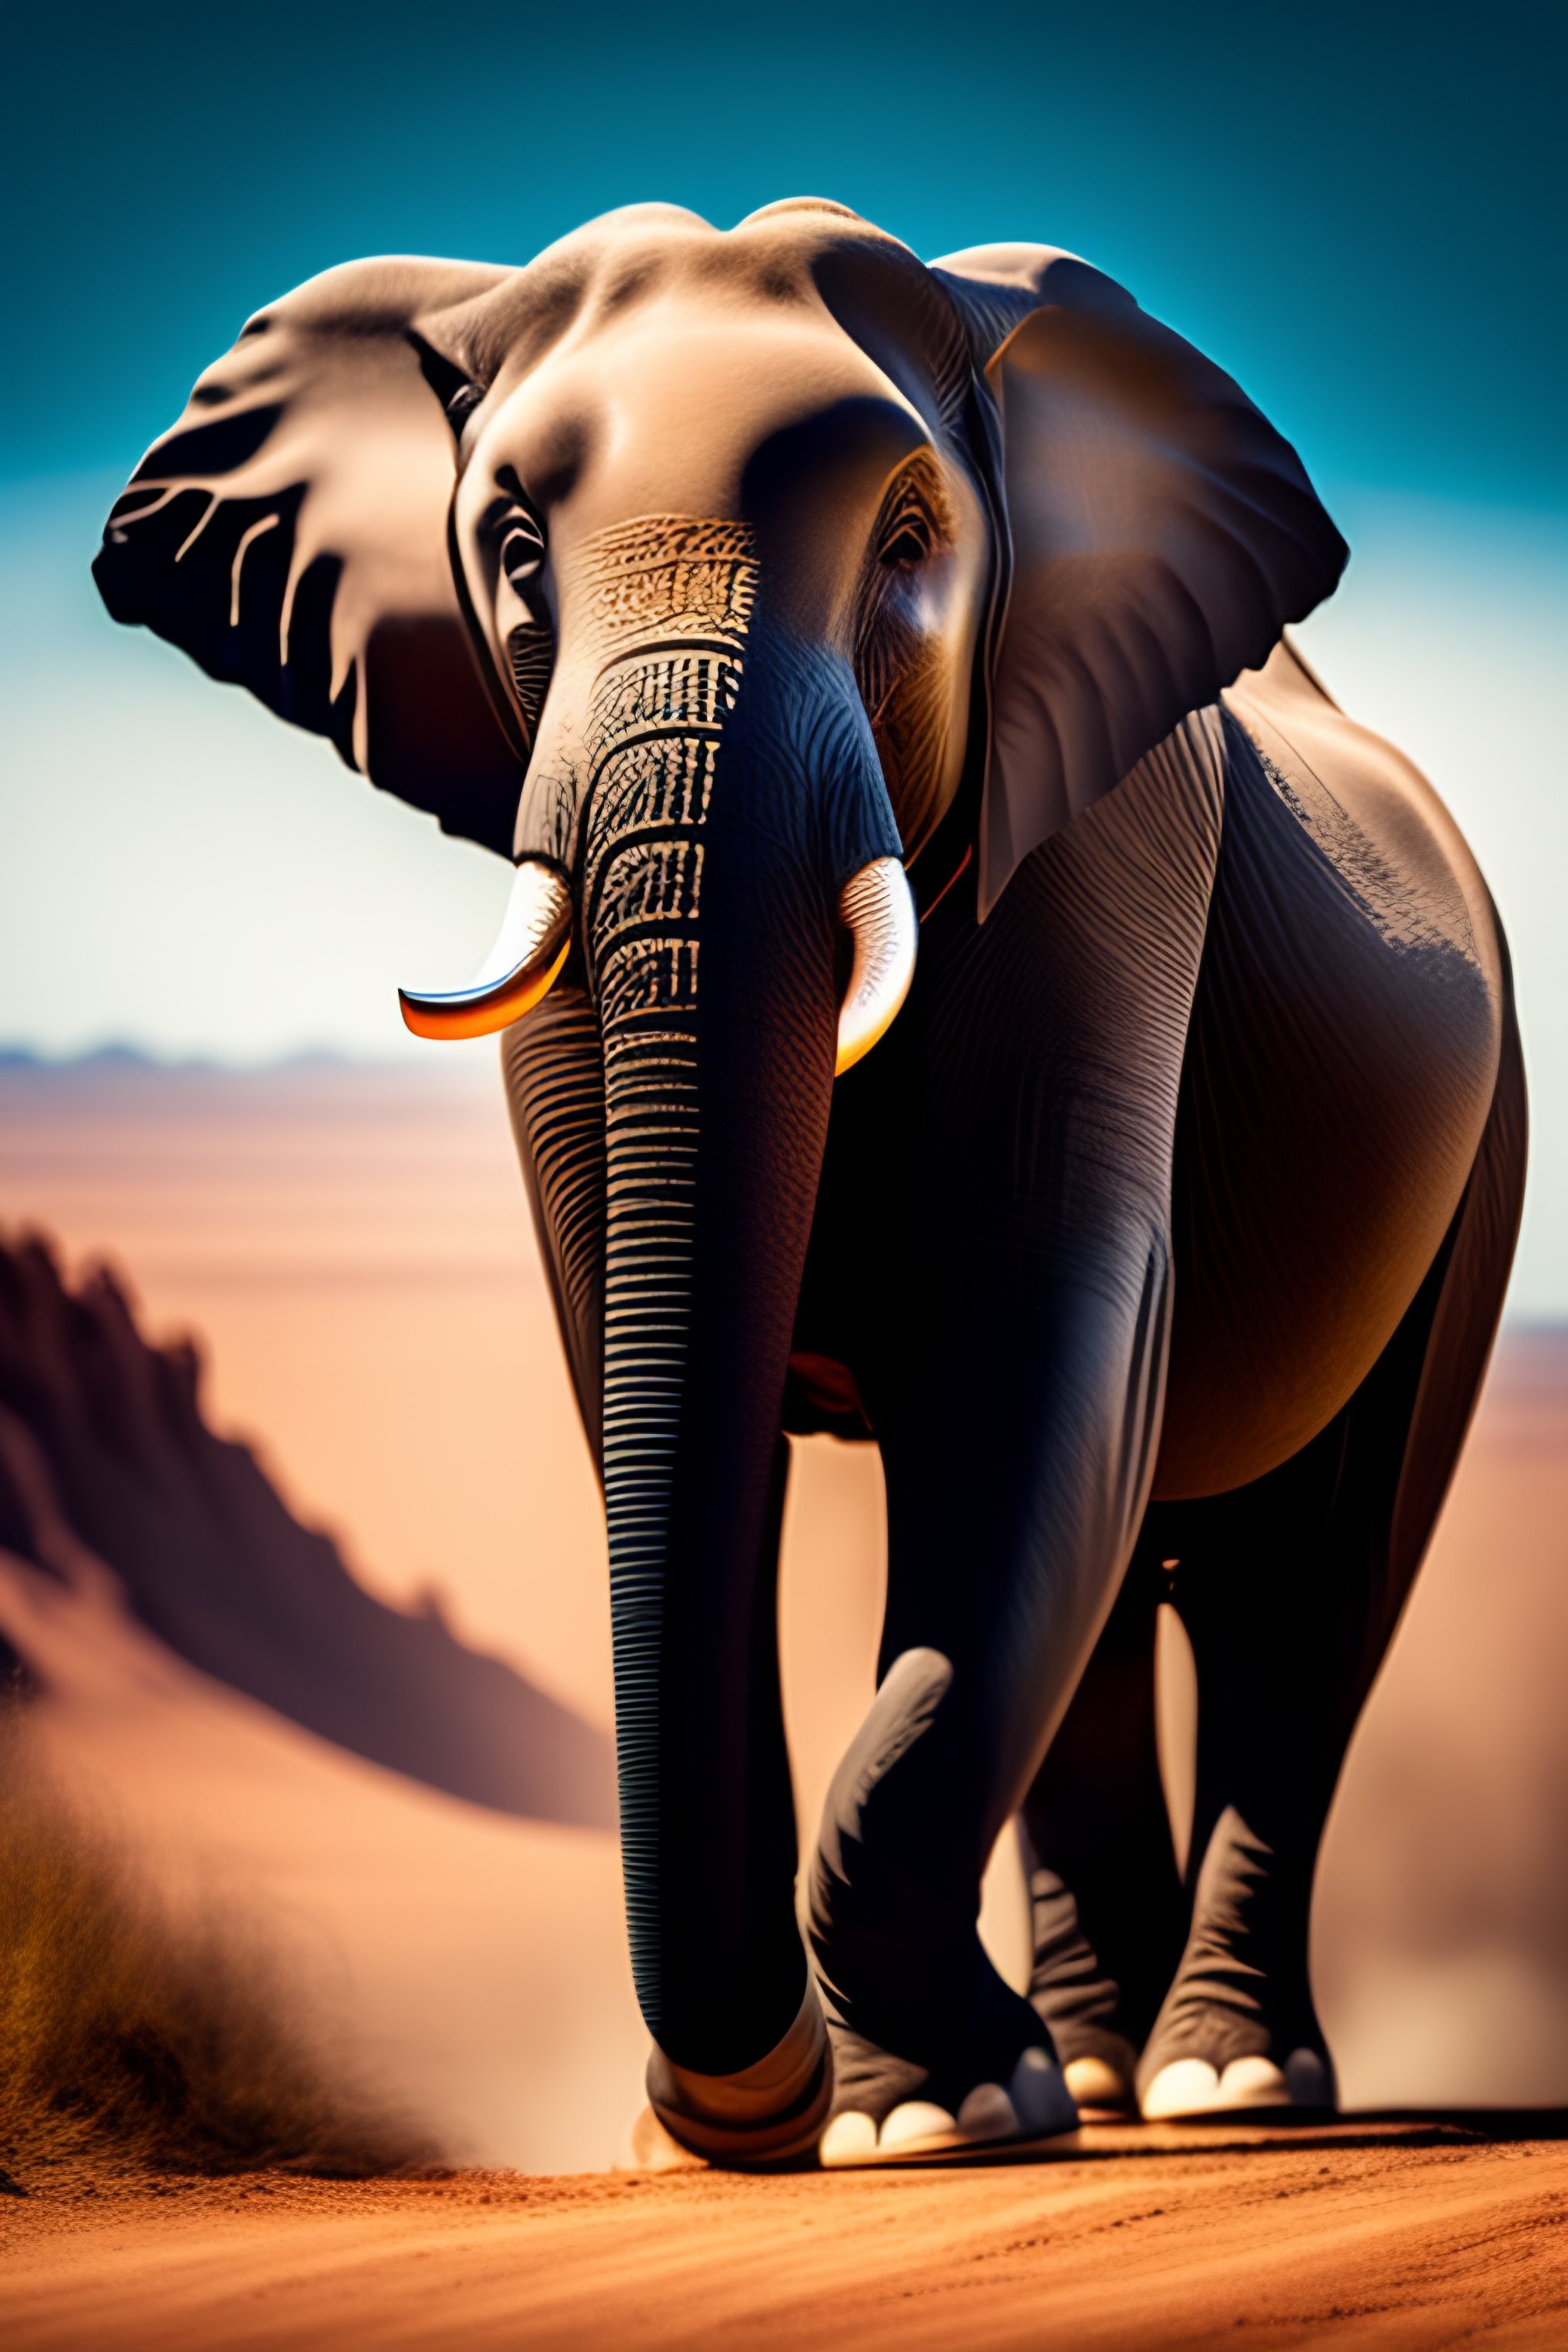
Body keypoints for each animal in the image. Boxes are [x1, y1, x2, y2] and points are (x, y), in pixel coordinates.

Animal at [93, 197, 1525, 2166]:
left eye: (912, 545)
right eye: (514, 547)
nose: (720, 2107)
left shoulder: (1110, 858)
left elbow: (1030, 1373)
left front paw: (920, 2113)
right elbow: (676, 1405)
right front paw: (895, 2110)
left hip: (1482, 1137)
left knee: (1294, 1583)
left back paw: (1219, 2081)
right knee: (1109, 1590)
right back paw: (1097, 2080)